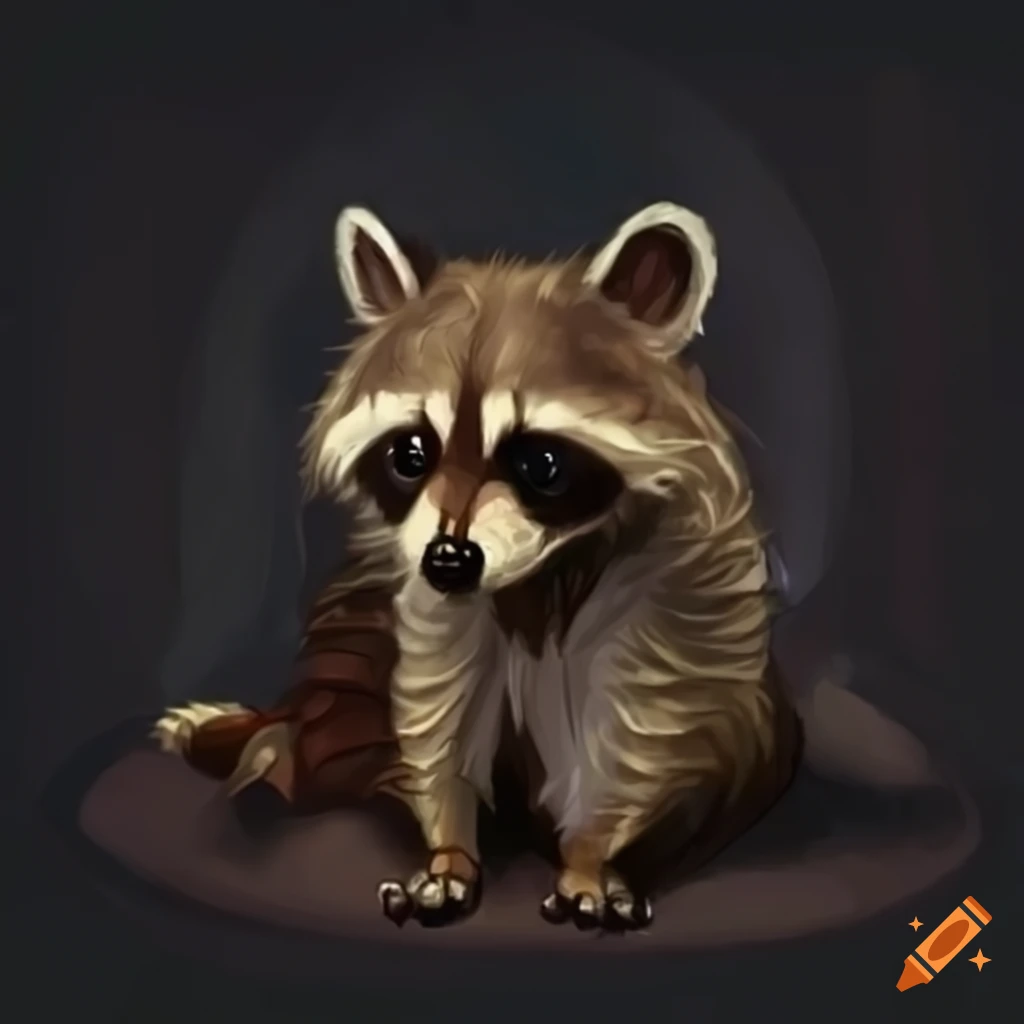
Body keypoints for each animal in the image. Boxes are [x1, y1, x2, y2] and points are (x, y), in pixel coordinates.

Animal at [156, 201, 801, 933]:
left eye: (542, 463)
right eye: (410, 453)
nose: (450, 557)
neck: (539, 579)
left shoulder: (675, 597)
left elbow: (642, 729)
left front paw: (591, 855)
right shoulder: (431, 601)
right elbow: (441, 709)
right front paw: (449, 848)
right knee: (326, 714)